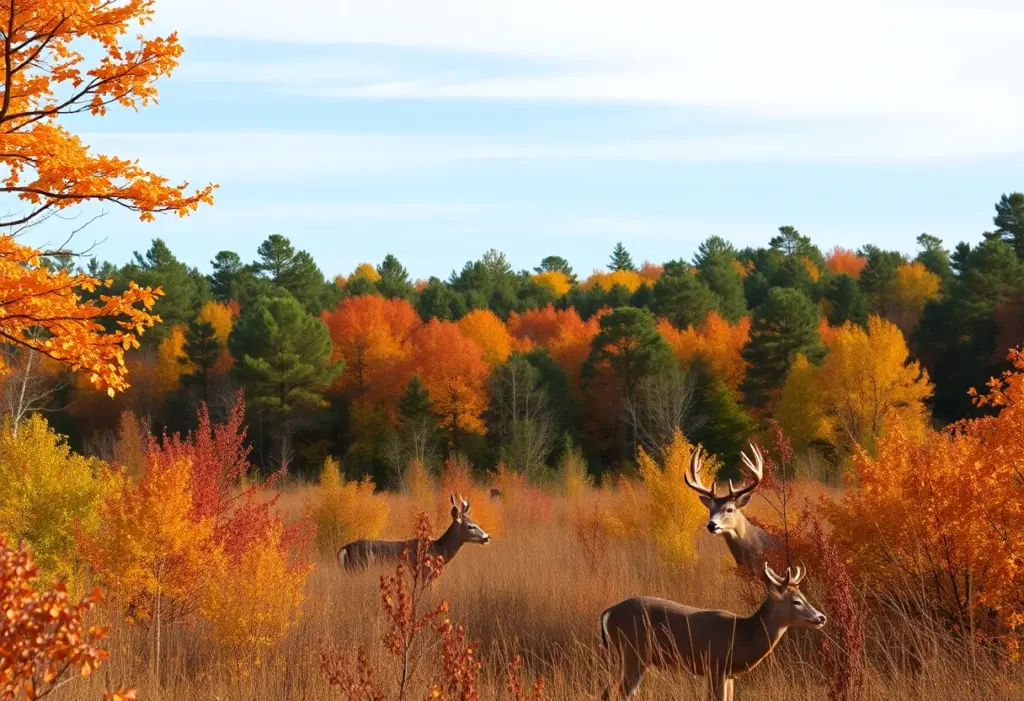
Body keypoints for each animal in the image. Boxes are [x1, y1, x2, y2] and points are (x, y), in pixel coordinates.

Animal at [337, 494, 490, 572]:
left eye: (476, 522)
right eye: (470, 526)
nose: (487, 537)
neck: (436, 550)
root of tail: (344, 549)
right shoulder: (424, 570)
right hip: (360, 567)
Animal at [599, 563, 827, 700]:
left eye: (803, 596)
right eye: (796, 601)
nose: (821, 617)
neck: (743, 636)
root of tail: (608, 612)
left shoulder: (728, 674)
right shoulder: (716, 664)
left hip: (623, 656)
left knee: (608, 691)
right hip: (634, 652)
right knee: (619, 693)